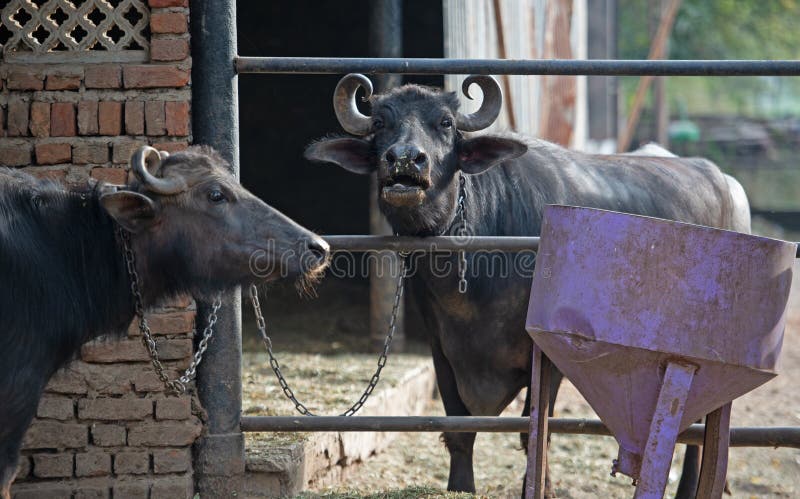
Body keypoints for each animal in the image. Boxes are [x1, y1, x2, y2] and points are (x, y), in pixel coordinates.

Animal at [306, 74, 750, 497]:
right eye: (381, 123)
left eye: (445, 123)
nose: (404, 160)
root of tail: (727, 183)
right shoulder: (442, 350)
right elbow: (460, 428)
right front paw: (460, 486)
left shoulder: (550, 354)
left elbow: (535, 431)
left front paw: (540, 488)